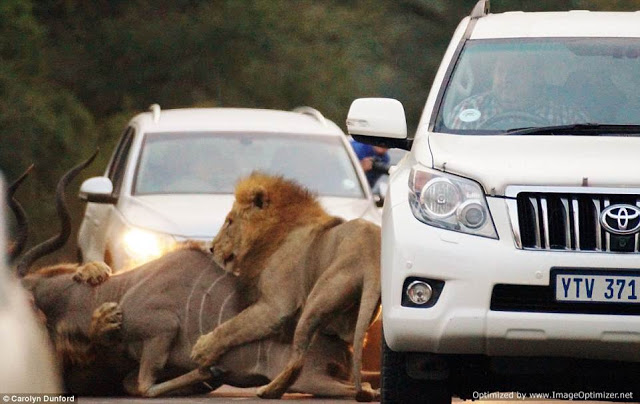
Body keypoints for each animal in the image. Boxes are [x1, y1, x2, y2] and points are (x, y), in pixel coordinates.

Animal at [190, 172, 382, 401]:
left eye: (229, 222)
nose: (211, 248)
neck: (274, 232)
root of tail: (372, 259)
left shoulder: (276, 307)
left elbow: (233, 326)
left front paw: (202, 349)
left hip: (317, 299)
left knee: (298, 361)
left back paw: (269, 390)